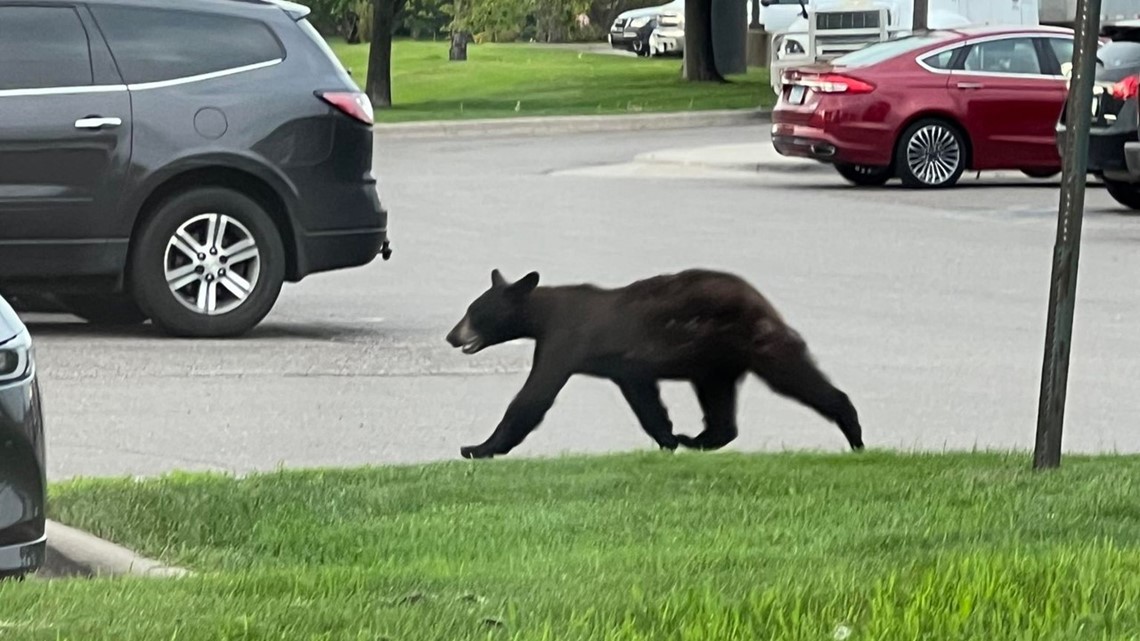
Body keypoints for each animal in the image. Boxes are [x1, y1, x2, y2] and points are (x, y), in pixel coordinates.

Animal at [445, 268, 864, 459]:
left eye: (474, 312)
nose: (451, 336)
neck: (543, 316)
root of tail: (762, 299)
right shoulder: (625, 368)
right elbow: (645, 400)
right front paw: (667, 438)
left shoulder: (565, 340)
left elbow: (534, 395)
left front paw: (478, 447)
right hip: (714, 360)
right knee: (719, 403)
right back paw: (698, 439)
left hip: (749, 342)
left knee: (793, 375)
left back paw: (854, 432)